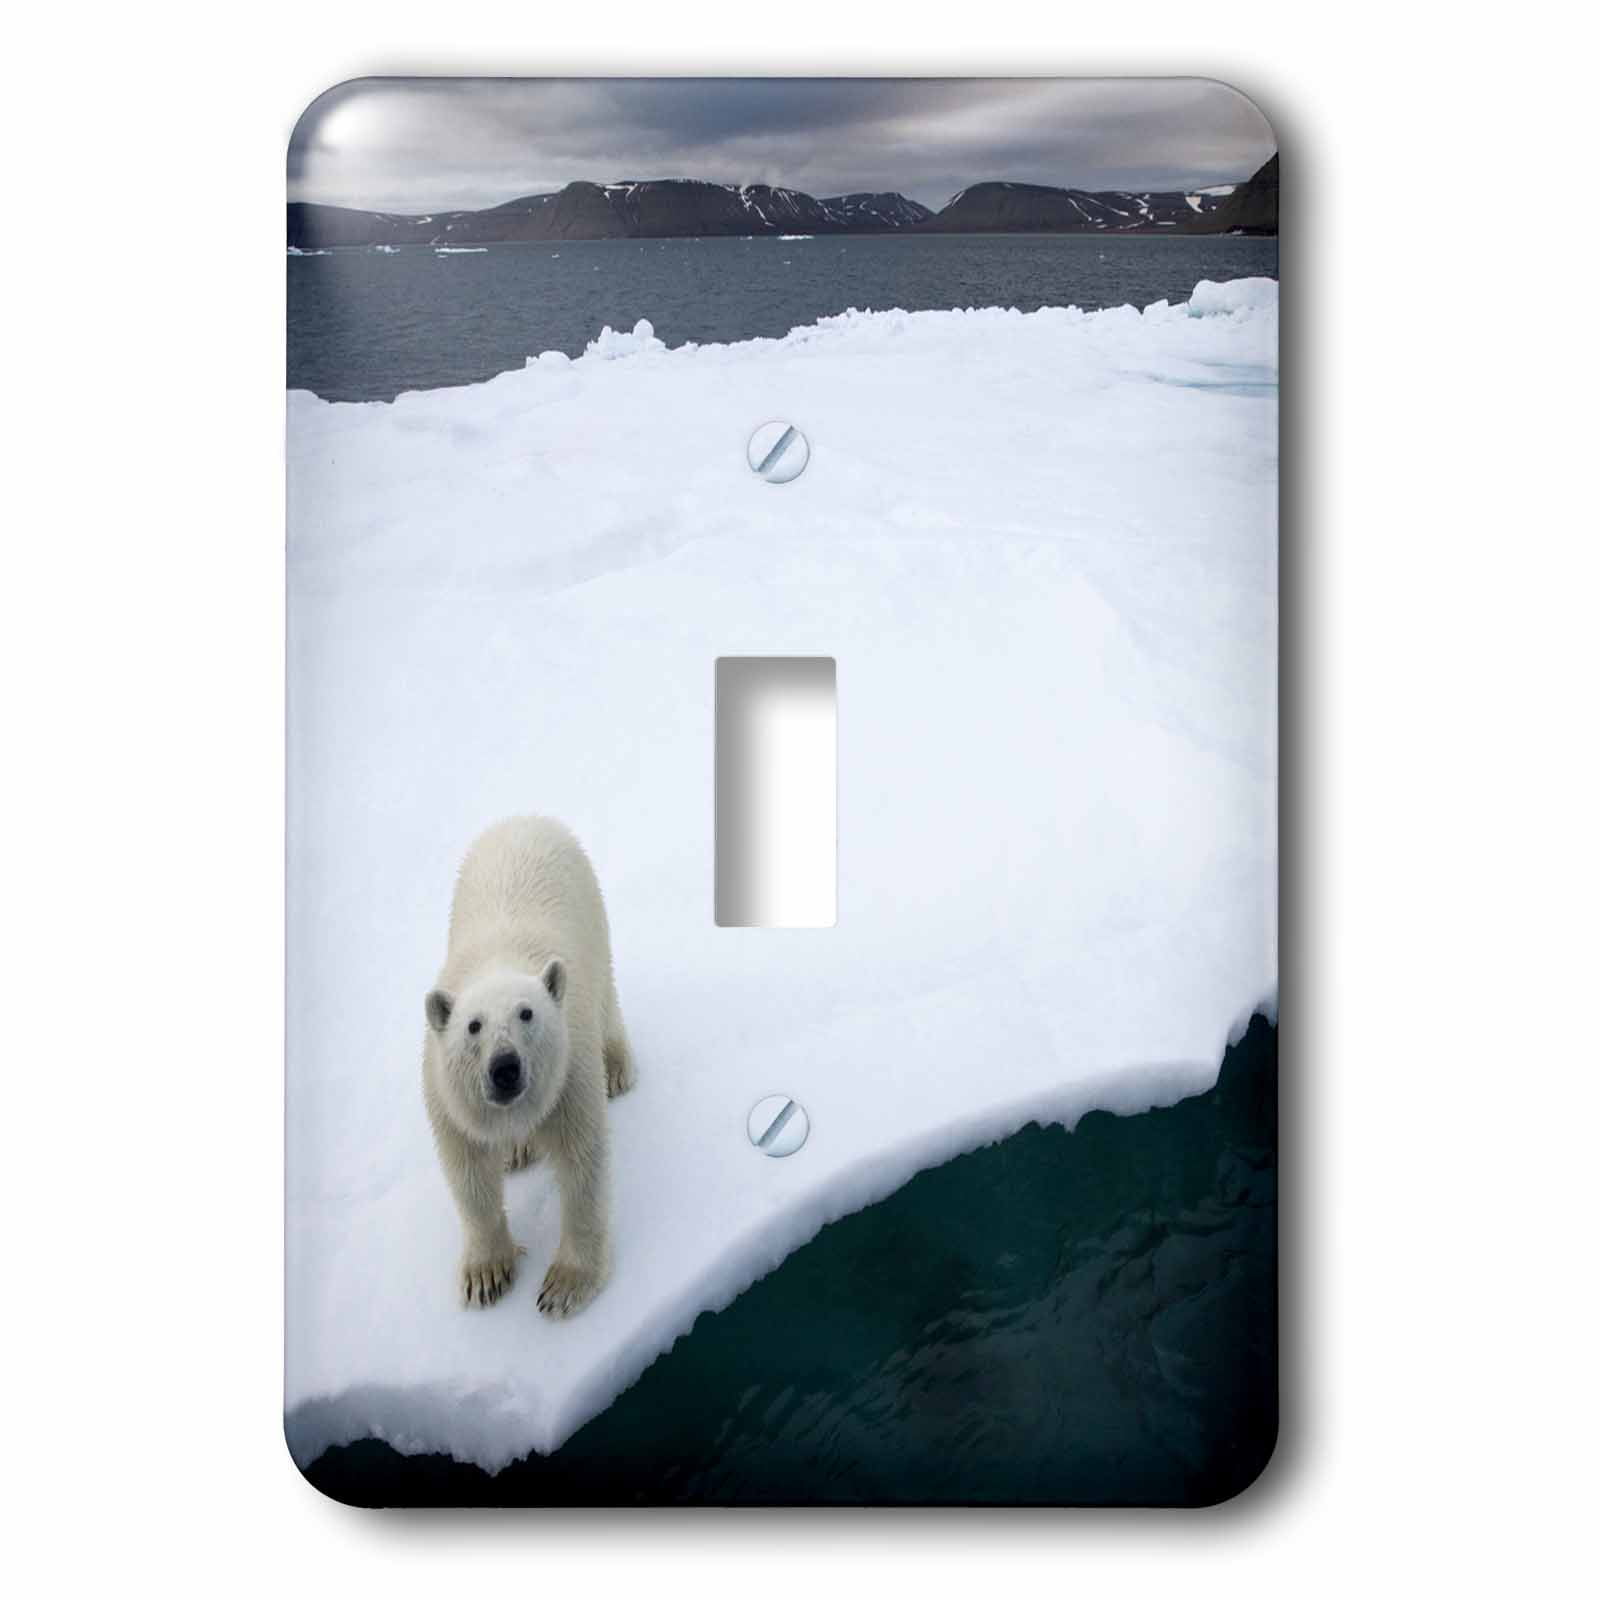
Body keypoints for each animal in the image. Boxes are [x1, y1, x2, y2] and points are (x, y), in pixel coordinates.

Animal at [422, 815, 635, 1318]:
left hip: (592, 911)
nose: (506, 1068)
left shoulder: (569, 1077)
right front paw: (486, 1276)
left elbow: (581, 1166)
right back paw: (518, 1150)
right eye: (473, 1026)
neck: (496, 964)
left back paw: (618, 1066)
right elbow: (469, 1175)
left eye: (527, 1014)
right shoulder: (448, 1101)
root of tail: (525, 819)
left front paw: (564, 1286)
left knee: (606, 994)